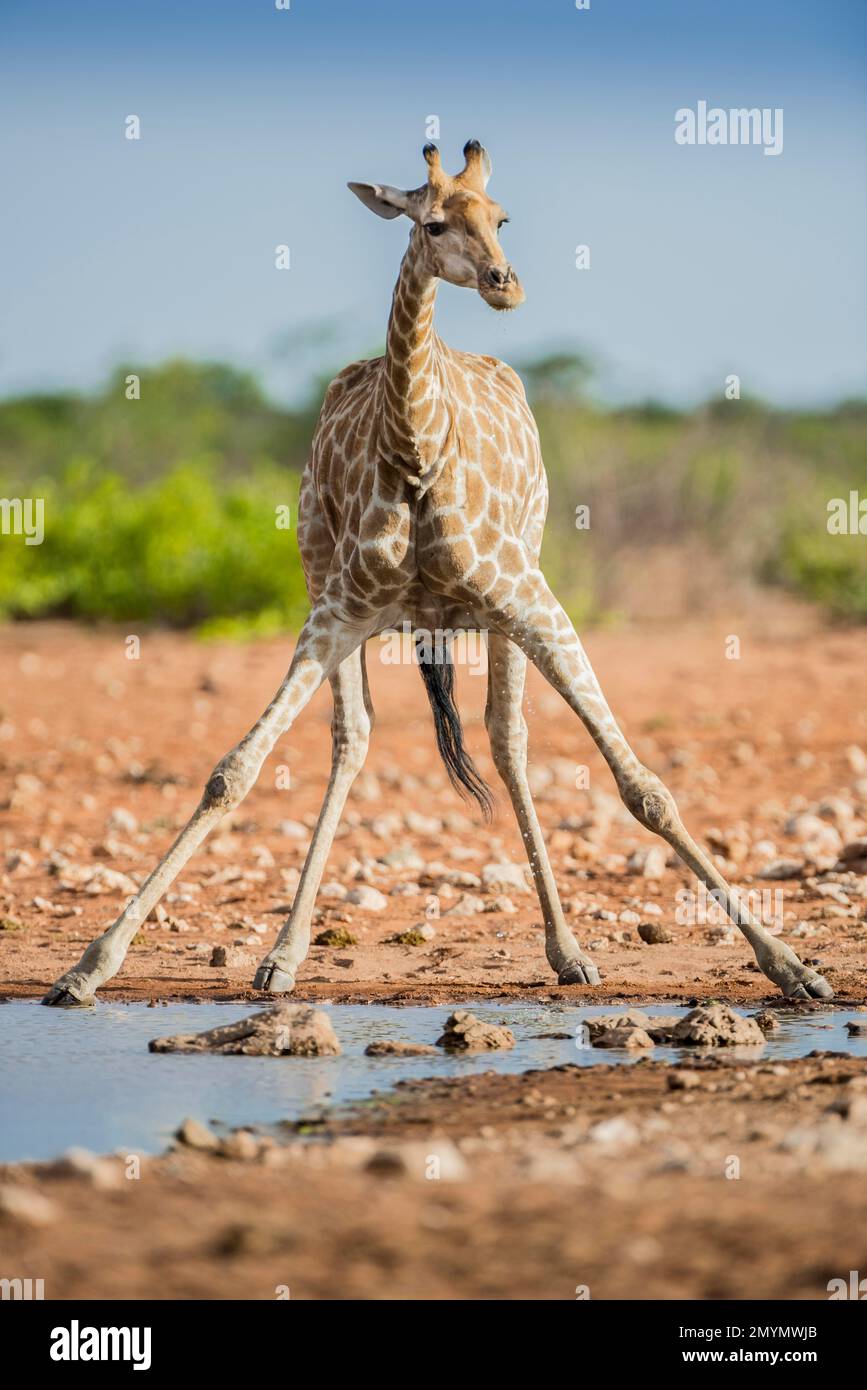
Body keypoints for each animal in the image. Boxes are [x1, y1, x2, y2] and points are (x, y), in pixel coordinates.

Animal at [44, 141, 832, 1006]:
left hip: (509, 594)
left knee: (507, 740)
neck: (417, 452)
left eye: (501, 218)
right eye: (431, 223)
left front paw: (791, 966)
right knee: (353, 737)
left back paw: (568, 951)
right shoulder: (336, 610)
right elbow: (233, 772)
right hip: (322, 580)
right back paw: (283, 955)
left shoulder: (532, 600)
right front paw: (89, 966)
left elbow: (642, 787)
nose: (503, 282)